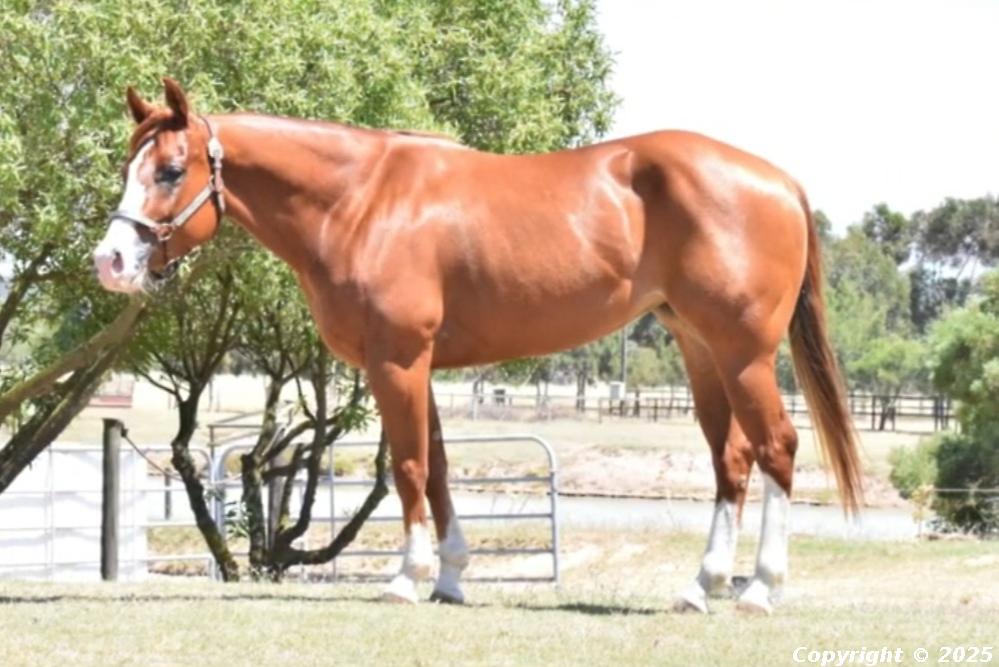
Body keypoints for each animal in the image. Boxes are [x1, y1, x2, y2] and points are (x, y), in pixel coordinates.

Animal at [93, 78, 863, 614]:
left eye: (170, 170)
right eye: (128, 168)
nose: (110, 261)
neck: (360, 201)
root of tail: (778, 181)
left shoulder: (397, 361)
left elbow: (407, 467)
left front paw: (405, 579)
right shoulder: (422, 366)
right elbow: (435, 468)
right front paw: (451, 579)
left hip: (743, 355)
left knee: (776, 449)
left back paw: (758, 590)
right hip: (701, 350)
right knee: (730, 460)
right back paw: (700, 587)